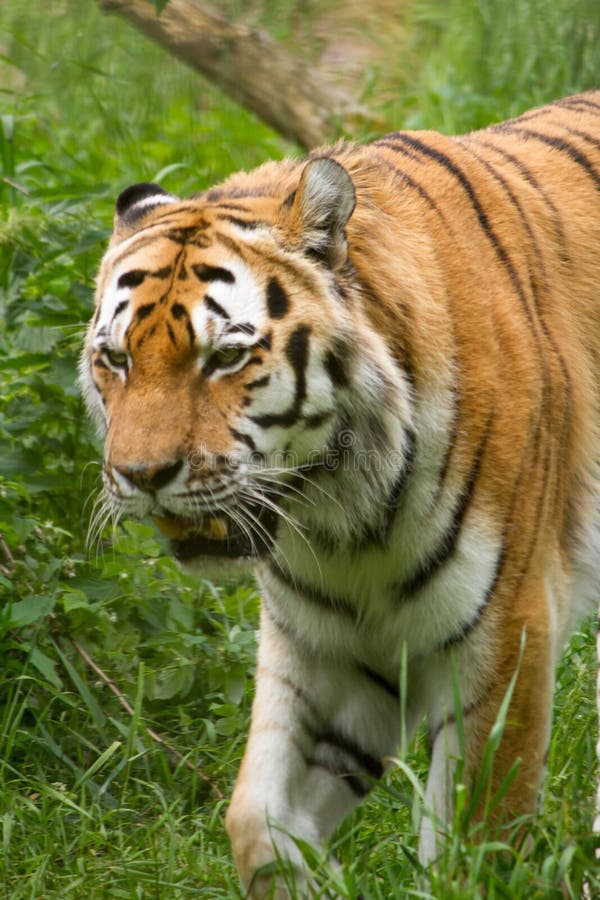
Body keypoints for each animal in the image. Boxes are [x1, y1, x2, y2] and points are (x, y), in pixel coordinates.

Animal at [80, 91, 600, 897]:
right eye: (115, 359)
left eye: (225, 357)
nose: (141, 475)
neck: (342, 511)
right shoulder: (326, 643)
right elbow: (255, 819)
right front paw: (310, 875)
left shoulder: (506, 626)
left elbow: (475, 842)